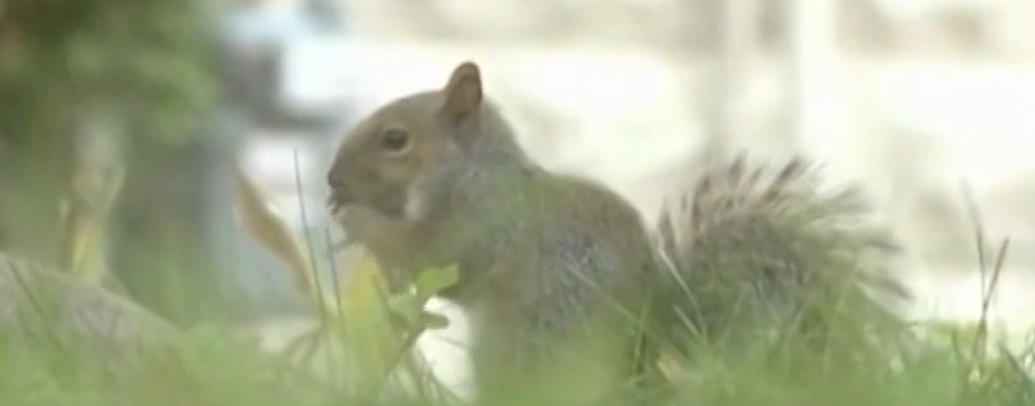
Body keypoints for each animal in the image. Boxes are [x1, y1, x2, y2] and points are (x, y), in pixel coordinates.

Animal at [326, 61, 912, 402]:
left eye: (395, 139)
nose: (333, 179)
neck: (474, 173)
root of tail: (645, 371)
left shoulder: (479, 226)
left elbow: (431, 258)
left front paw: (357, 223)